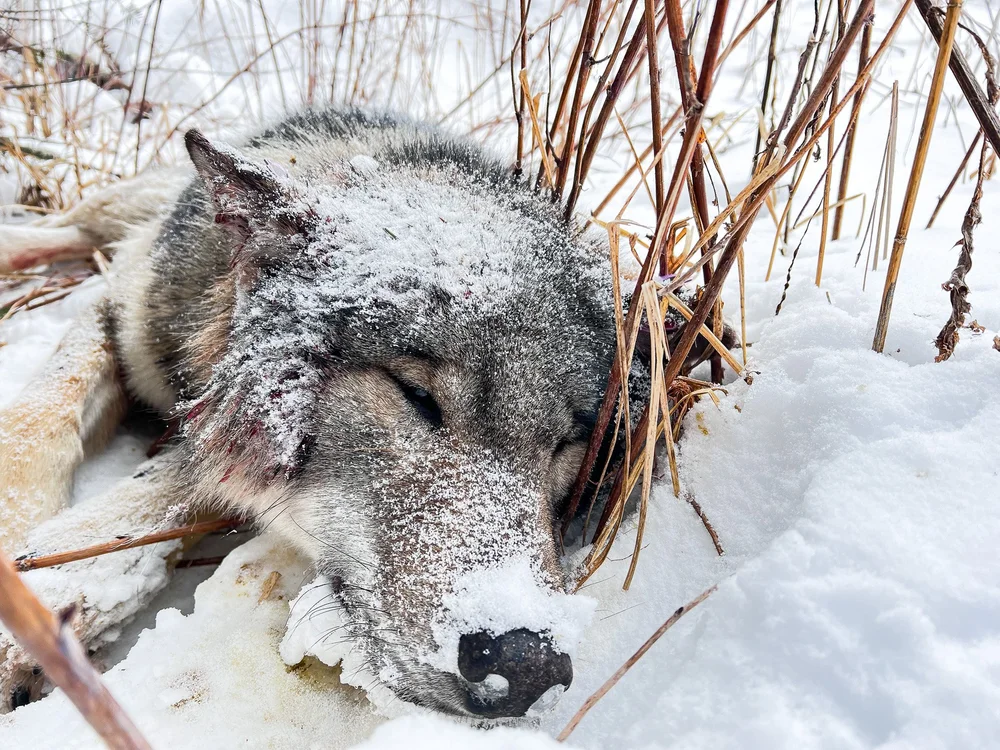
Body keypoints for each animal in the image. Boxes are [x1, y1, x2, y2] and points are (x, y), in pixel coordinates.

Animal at [0, 108, 734, 719]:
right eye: (415, 395)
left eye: (568, 446)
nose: (526, 666)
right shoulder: (119, 310)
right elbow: (36, 421)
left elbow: (173, 485)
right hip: (127, 212)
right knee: (70, 226)